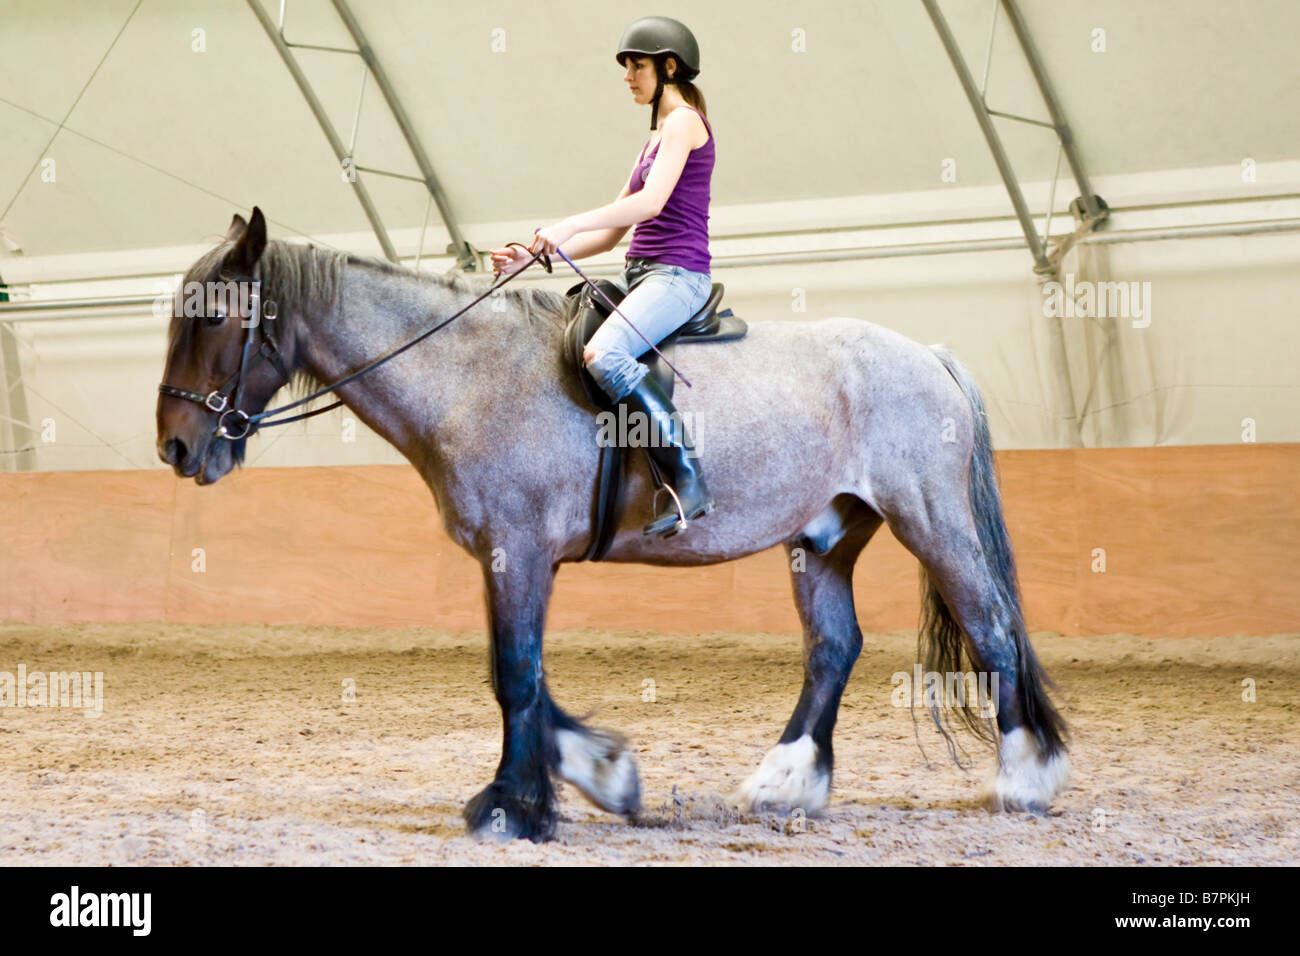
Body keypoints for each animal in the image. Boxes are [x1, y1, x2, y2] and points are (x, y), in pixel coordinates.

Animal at [156, 208, 1069, 842]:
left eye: (213, 318)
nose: (175, 446)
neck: (468, 374)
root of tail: (928, 354)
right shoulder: (514, 557)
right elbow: (526, 678)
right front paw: (603, 773)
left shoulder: (518, 550)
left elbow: (515, 676)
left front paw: (513, 807)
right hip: (824, 538)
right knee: (834, 649)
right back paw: (787, 783)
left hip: (930, 519)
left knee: (990, 626)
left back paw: (1024, 779)